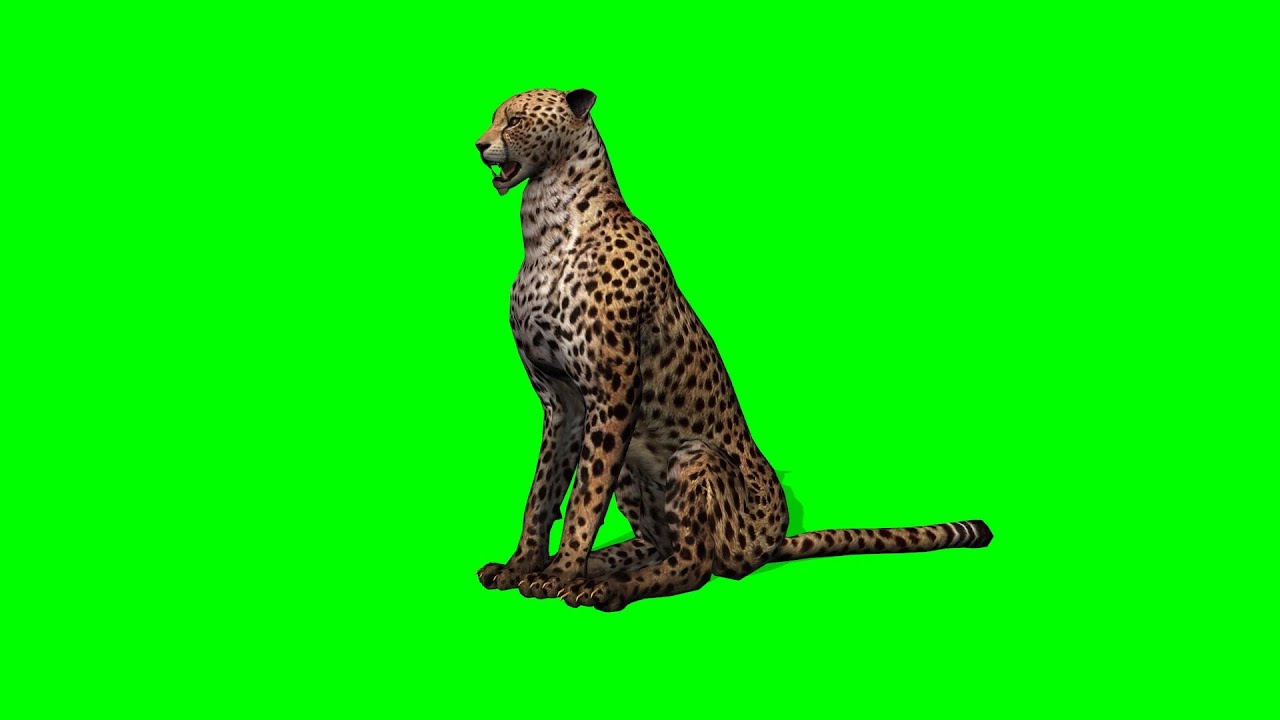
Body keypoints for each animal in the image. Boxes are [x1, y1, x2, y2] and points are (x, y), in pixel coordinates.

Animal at [474, 88, 992, 611]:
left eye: (514, 120)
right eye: (494, 118)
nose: (479, 145)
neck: (548, 227)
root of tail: (772, 535)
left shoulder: (612, 394)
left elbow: (585, 493)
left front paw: (560, 575)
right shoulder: (562, 401)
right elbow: (542, 492)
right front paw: (522, 565)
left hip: (694, 458)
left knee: (694, 564)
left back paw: (609, 585)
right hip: (637, 477)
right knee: (658, 544)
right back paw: (606, 562)